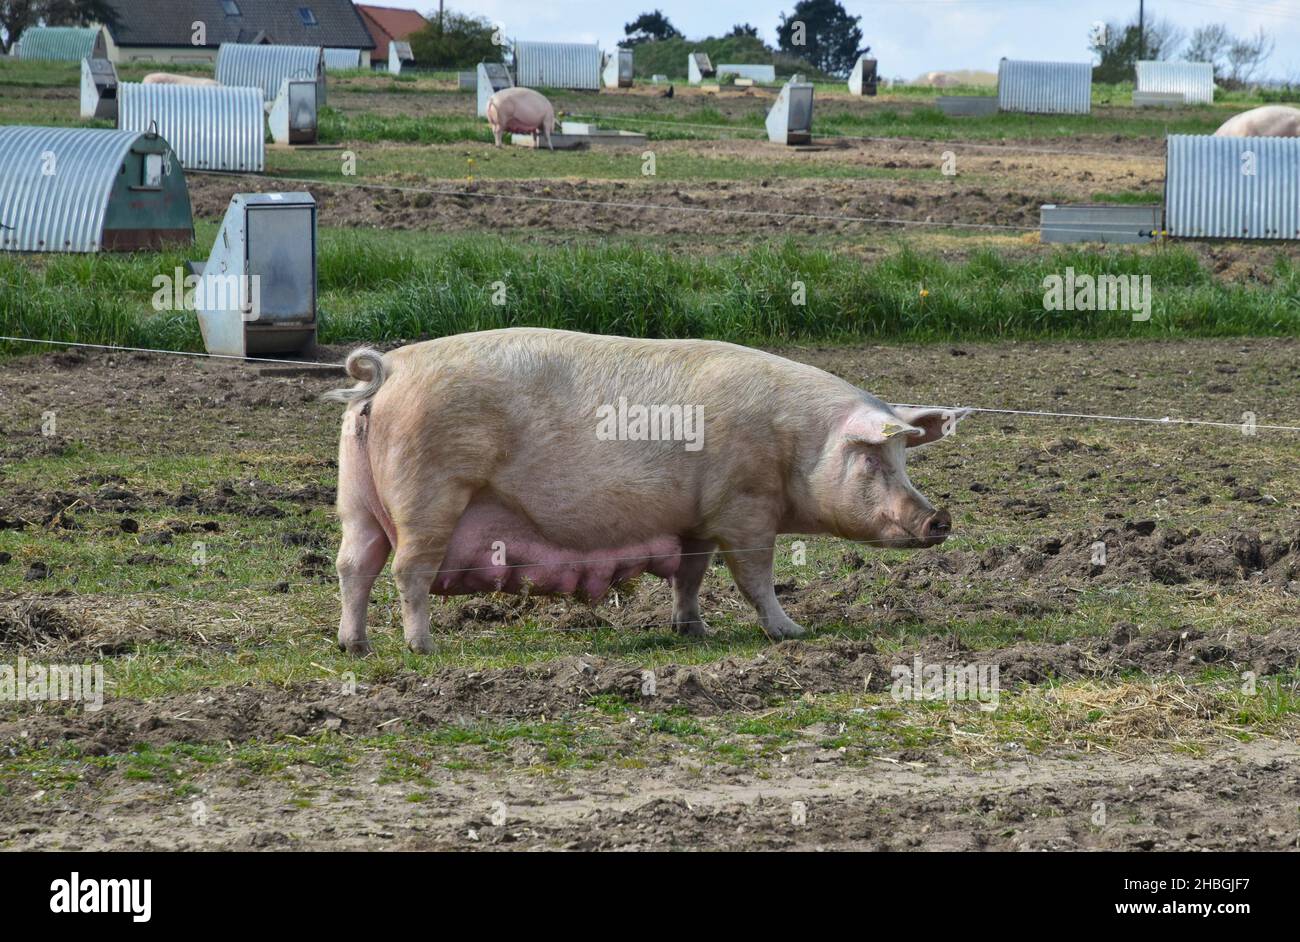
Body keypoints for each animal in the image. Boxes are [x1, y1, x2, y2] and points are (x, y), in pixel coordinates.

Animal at [325, 329, 968, 655]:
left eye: (904, 457)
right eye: (874, 457)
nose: (939, 519)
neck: (797, 443)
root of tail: (384, 374)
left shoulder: (696, 519)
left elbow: (691, 575)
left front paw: (695, 631)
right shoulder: (744, 505)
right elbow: (754, 577)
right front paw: (792, 631)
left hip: (355, 499)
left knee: (352, 565)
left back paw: (354, 647)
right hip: (428, 494)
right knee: (407, 570)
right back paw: (422, 647)